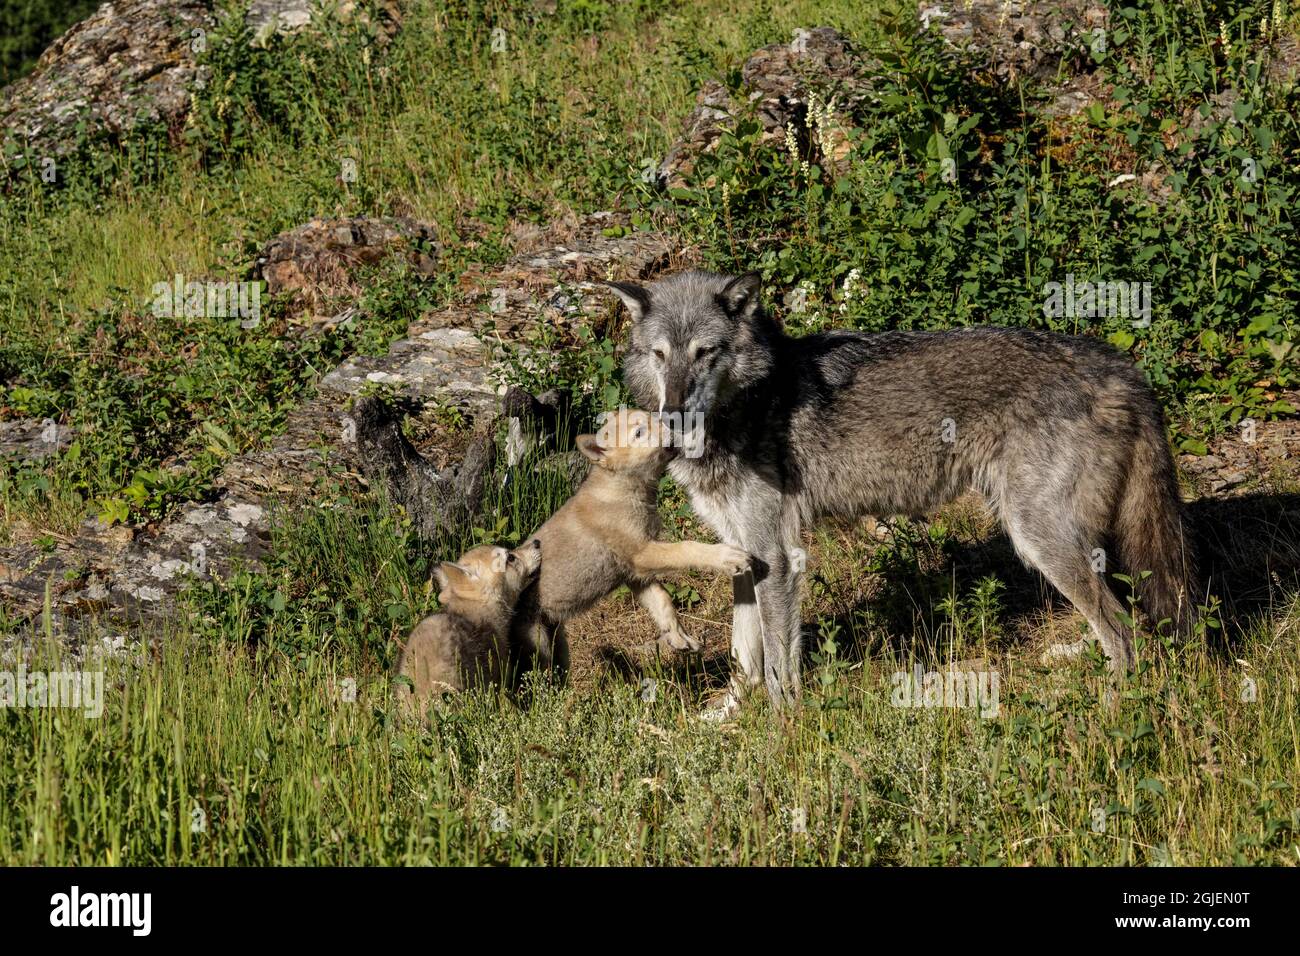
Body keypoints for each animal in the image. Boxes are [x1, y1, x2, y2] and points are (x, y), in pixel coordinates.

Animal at [512, 407, 751, 680]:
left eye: (654, 419)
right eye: (639, 433)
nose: (676, 422)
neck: (621, 490)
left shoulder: (635, 574)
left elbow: (663, 601)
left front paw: (679, 637)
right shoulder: (642, 553)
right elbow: (687, 547)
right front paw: (727, 557)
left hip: (558, 643)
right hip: (537, 647)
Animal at [605, 270, 1198, 715]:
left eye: (705, 352)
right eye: (660, 354)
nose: (673, 414)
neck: (748, 403)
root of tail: (1124, 369)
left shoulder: (778, 553)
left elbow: (776, 662)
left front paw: (782, 728)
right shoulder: (740, 551)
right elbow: (742, 654)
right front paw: (727, 716)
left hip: (1040, 540)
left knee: (1125, 634)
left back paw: (1108, 709)